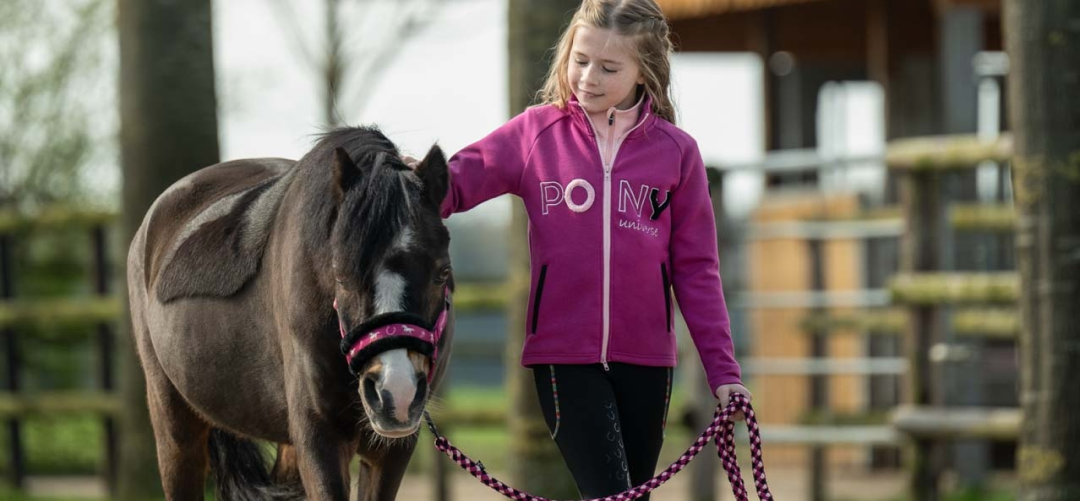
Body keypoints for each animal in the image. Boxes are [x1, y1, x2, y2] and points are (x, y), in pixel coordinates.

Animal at [126, 126, 455, 501]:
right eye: (341, 275)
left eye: (442, 273)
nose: (394, 392)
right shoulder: (319, 437)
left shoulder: (392, 448)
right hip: (173, 424)